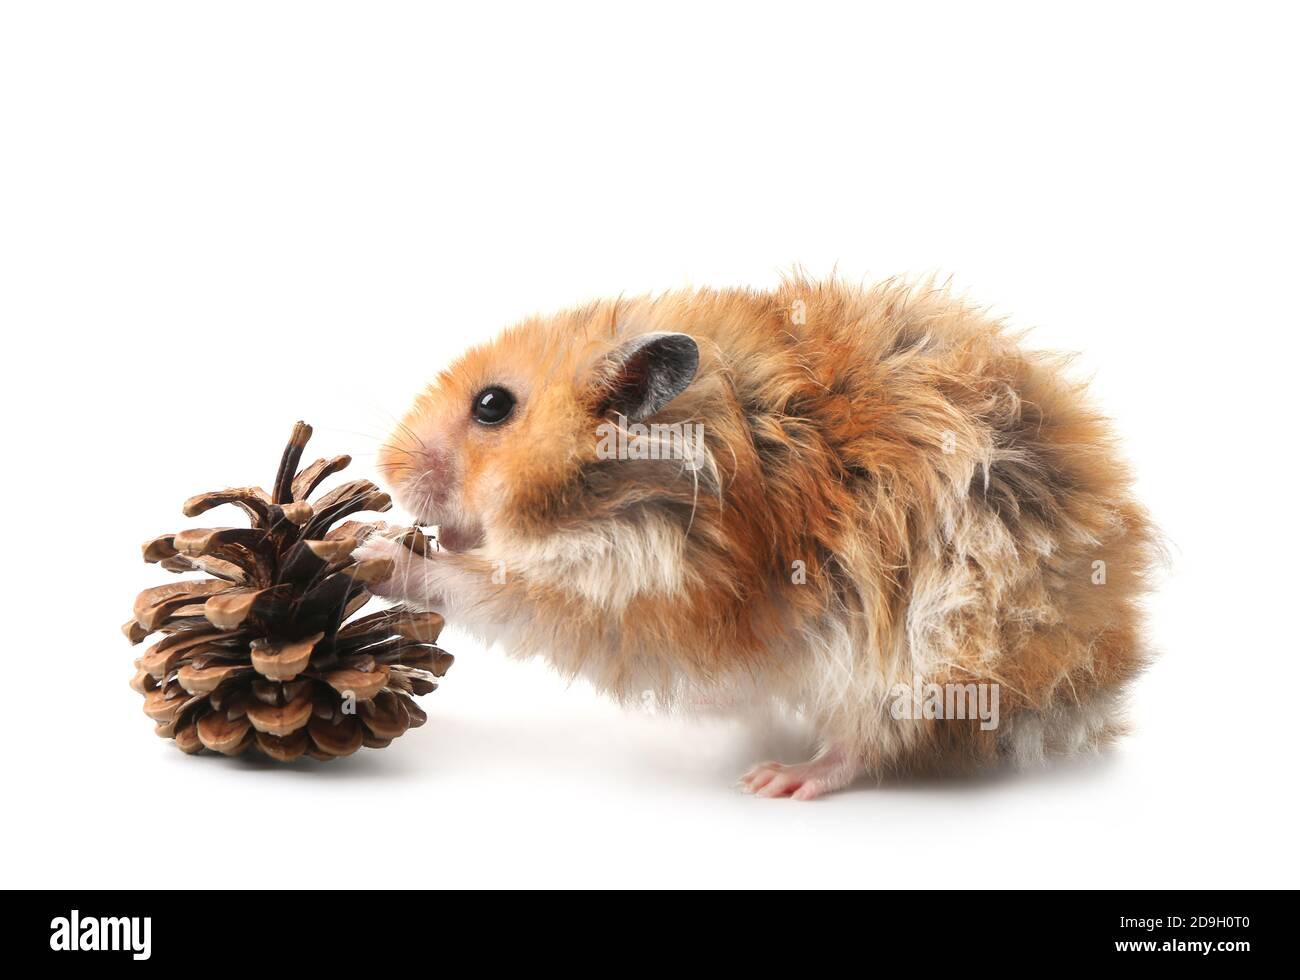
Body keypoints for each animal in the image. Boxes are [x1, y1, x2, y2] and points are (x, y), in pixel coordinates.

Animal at [357, 277, 1159, 799]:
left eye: (492, 406)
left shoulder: (641, 598)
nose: (386, 470)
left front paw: (372, 550)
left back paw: (778, 780)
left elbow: (494, 589)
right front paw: (386, 527)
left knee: (873, 743)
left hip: (926, 659)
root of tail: (1095, 674)